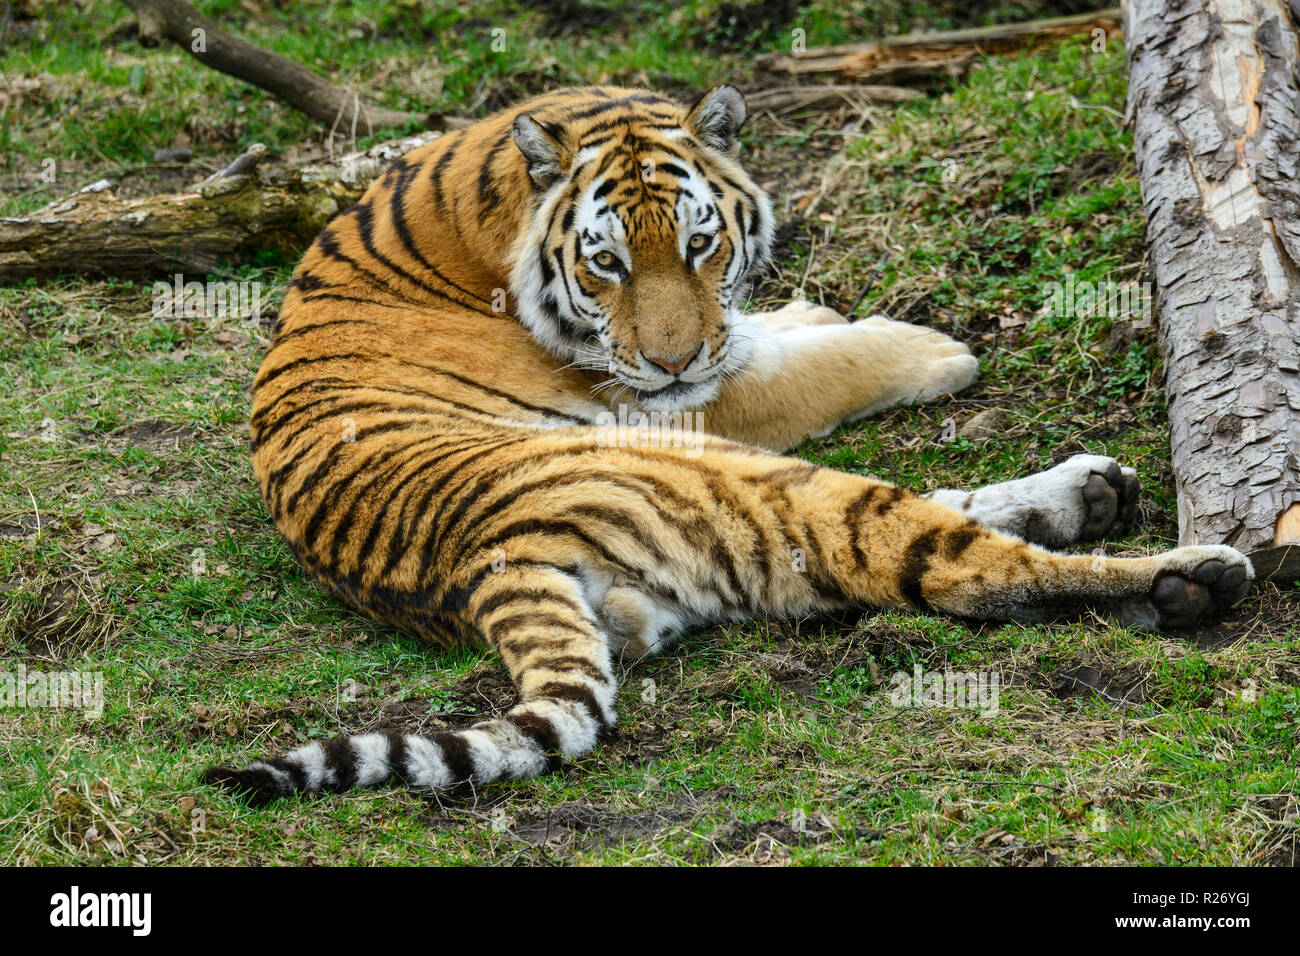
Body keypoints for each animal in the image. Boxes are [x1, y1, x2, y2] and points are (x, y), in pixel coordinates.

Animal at [204, 85, 1254, 804]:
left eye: (700, 246)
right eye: (606, 262)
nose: (672, 360)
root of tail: (485, 562)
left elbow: (772, 333)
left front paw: (804, 311)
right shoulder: (680, 405)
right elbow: (813, 367)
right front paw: (930, 347)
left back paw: (1094, 492)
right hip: (737, 478)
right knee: (955, 566)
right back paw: (1188, 574)